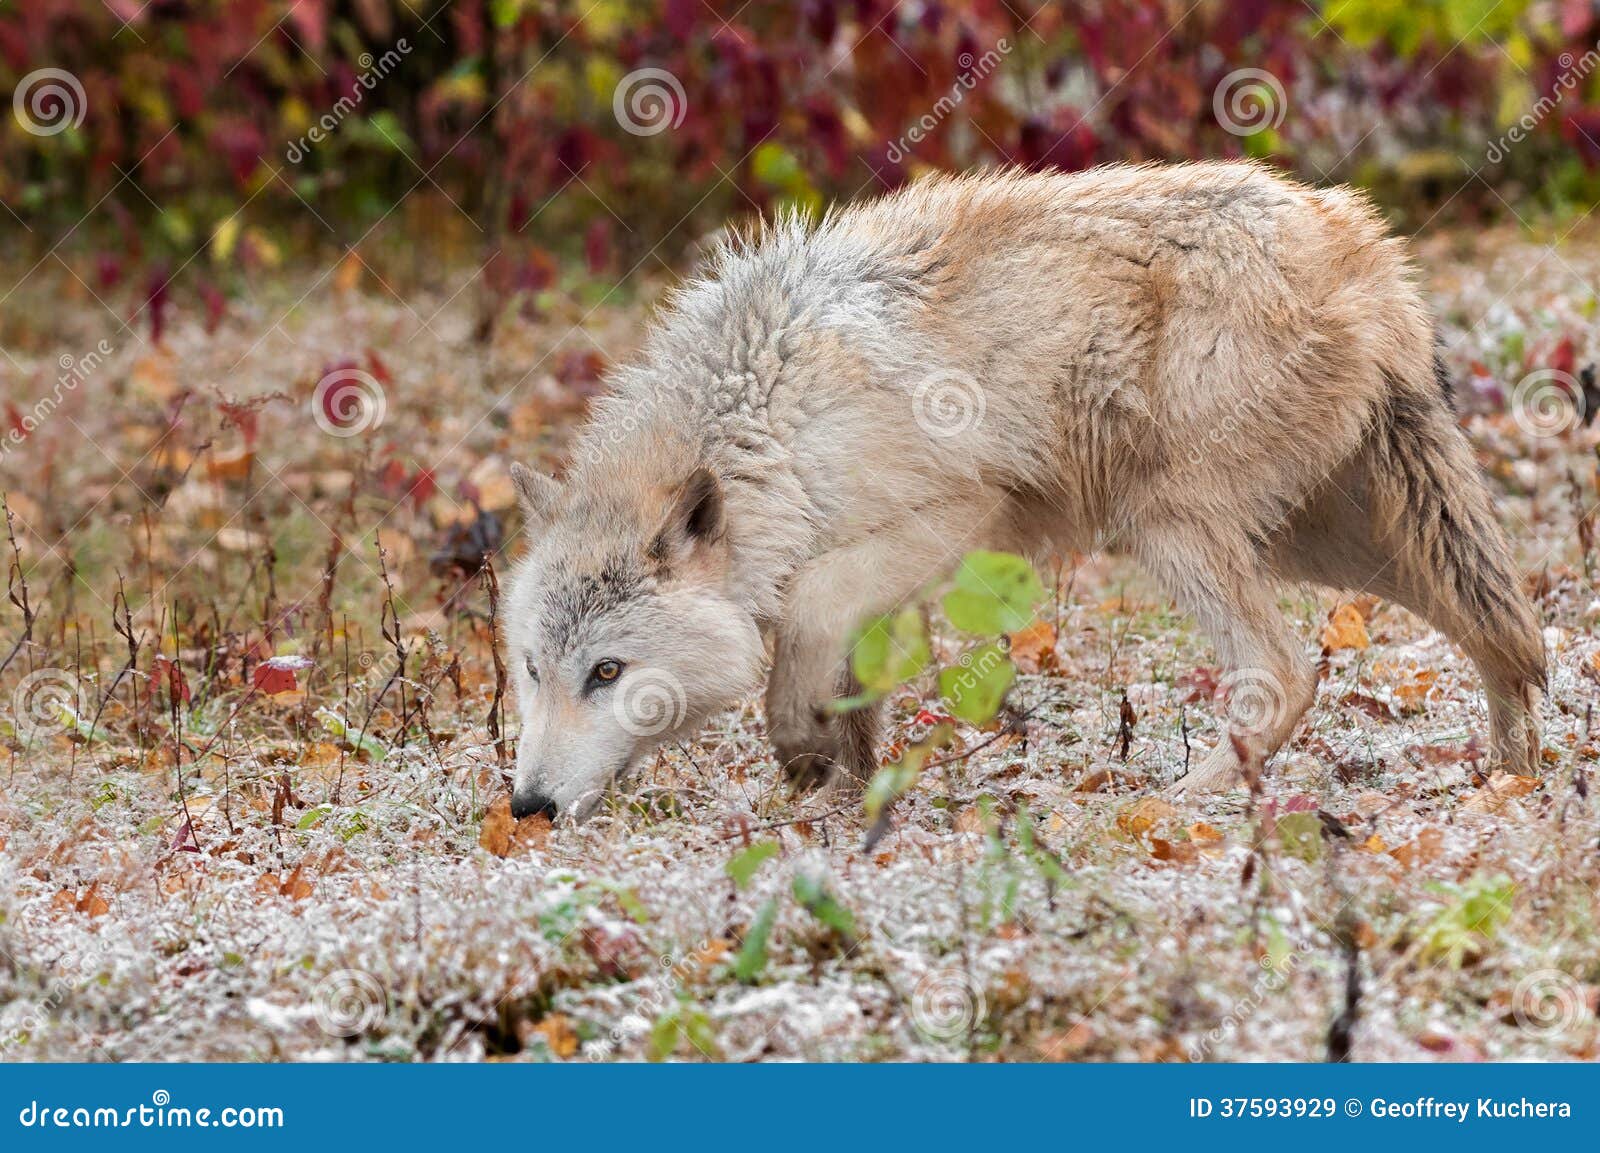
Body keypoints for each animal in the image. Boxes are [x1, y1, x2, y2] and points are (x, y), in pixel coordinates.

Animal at [504, 161, 1544, 820]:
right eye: (531, 671)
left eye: (608, 672)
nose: (530, 807)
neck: (768, 416)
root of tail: (1362, 240)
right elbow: (857, 688)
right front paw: (845, 786)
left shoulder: (955, 513)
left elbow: (807, 614)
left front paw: (801, 746)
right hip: (1330, 544)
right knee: (1509, 635)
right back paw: (1514, 779)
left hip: (1170, 527)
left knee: (1289, 674)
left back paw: (1177, 805)